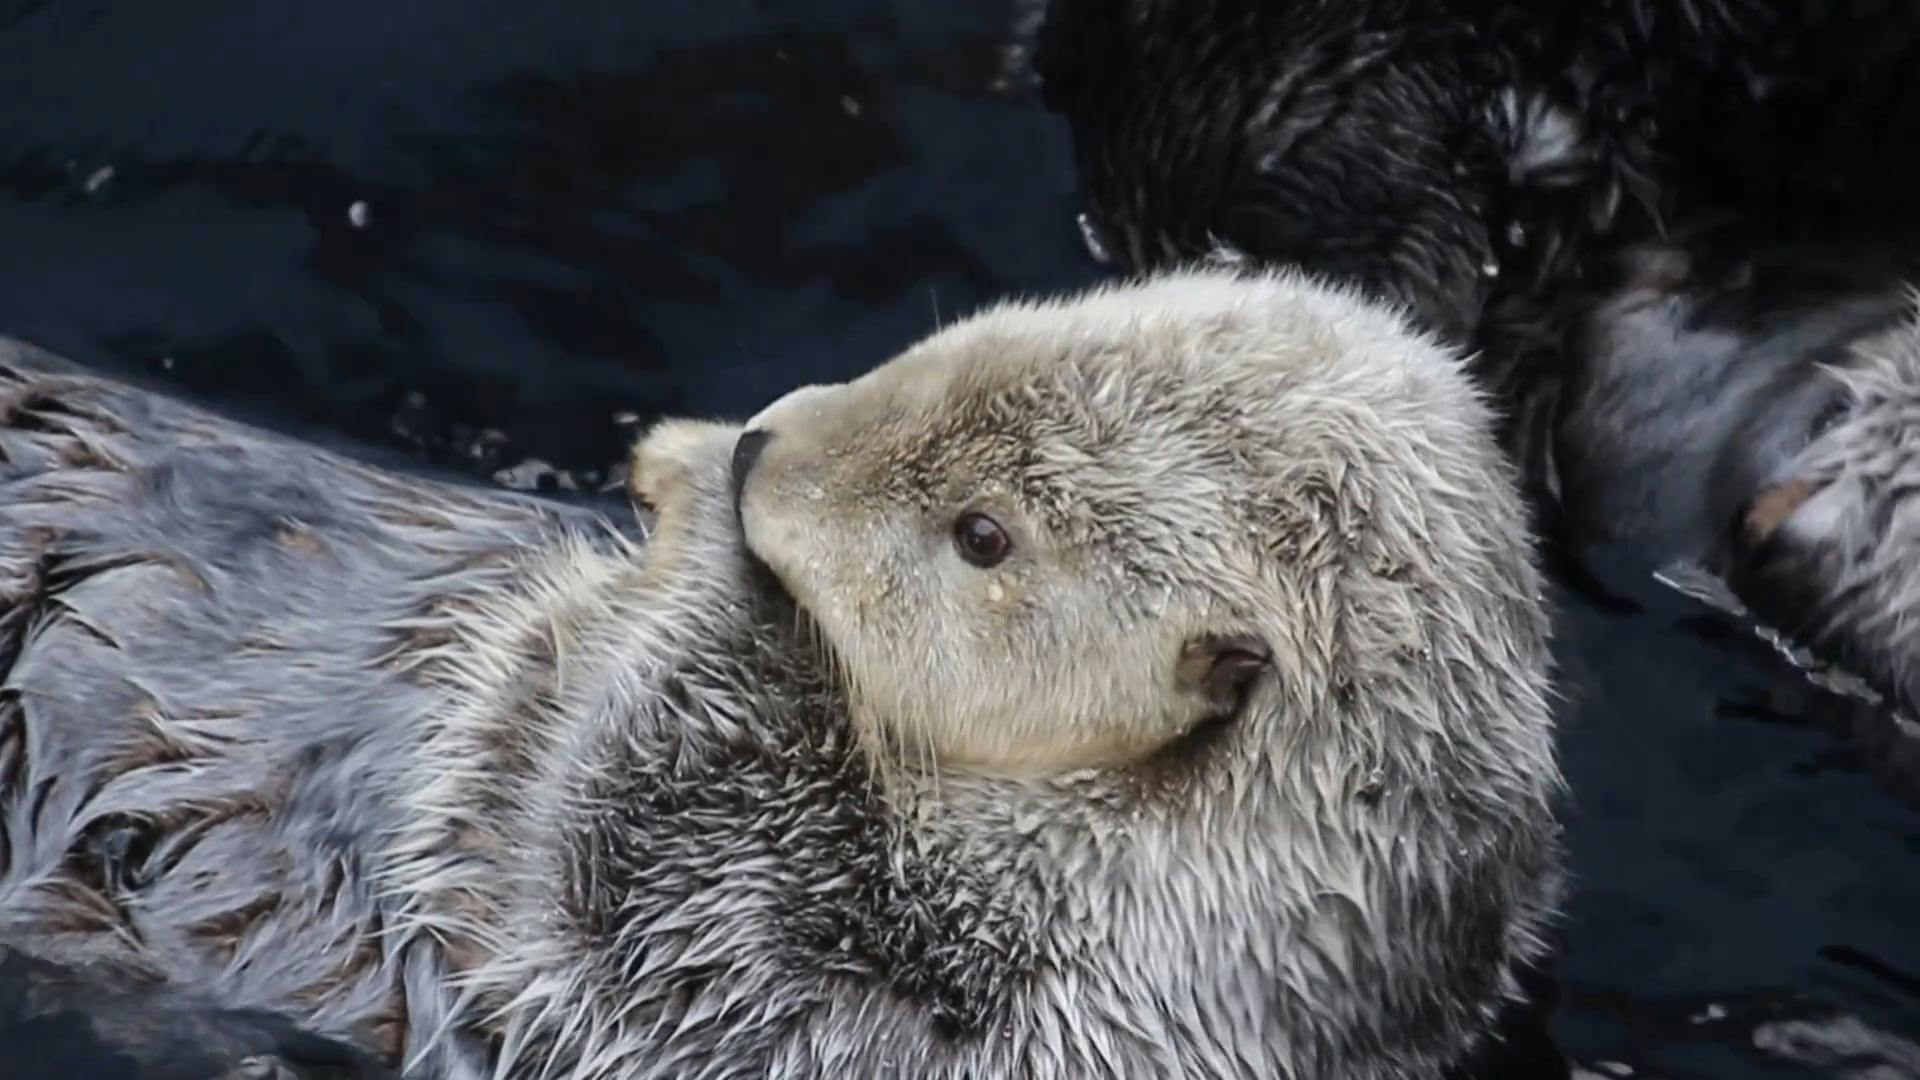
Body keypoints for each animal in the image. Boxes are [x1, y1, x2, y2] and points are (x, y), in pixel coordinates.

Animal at [0, 266, 1561, 1079]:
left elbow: (622, 923)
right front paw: (688, 461)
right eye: (961, 340)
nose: (764, 447)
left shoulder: (922, 1041)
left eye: (983, 535)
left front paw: (708, 520)